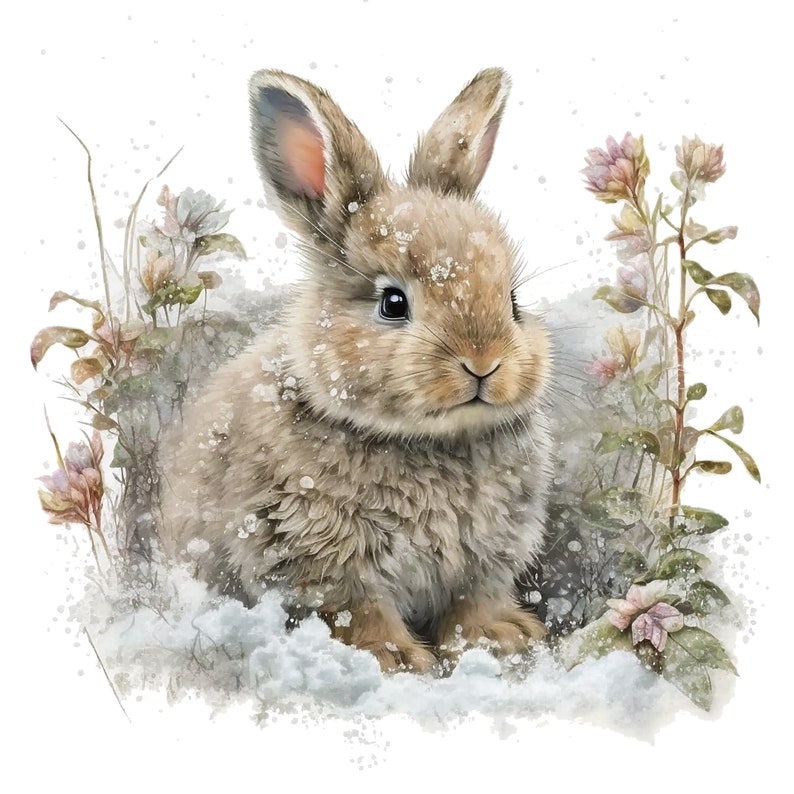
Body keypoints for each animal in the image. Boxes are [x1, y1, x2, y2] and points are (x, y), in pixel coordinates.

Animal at [159, 67, 553, 673]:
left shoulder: (484, 561)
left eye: (513, 301)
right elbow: (358, 611)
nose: (484, 362)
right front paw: (395, 660)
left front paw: (502, 639)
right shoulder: (318, 557)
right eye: (393, 303)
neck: (430, 442)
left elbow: (471, 606)